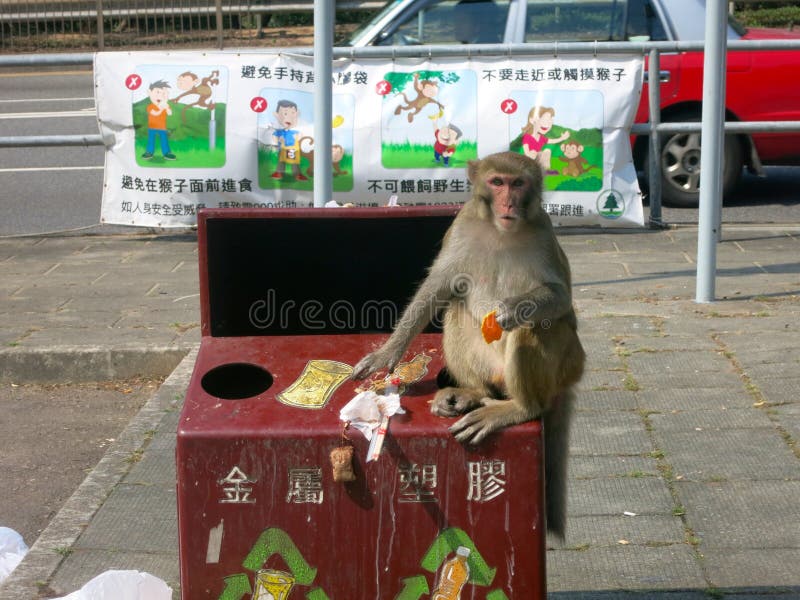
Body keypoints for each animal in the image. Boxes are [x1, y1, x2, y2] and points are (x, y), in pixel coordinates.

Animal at [352, 151, 585, 538]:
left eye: (518, 183)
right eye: (497, 182)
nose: (509, 202)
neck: (500, 231)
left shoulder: (544, 232)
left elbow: (560, 298)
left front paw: (514, 309)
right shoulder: (461, 228)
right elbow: (438, 288)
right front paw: (388, 352)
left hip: (564, 359)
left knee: (531, 331)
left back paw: (520, 407)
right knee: (456, 309)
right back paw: (472, 392)